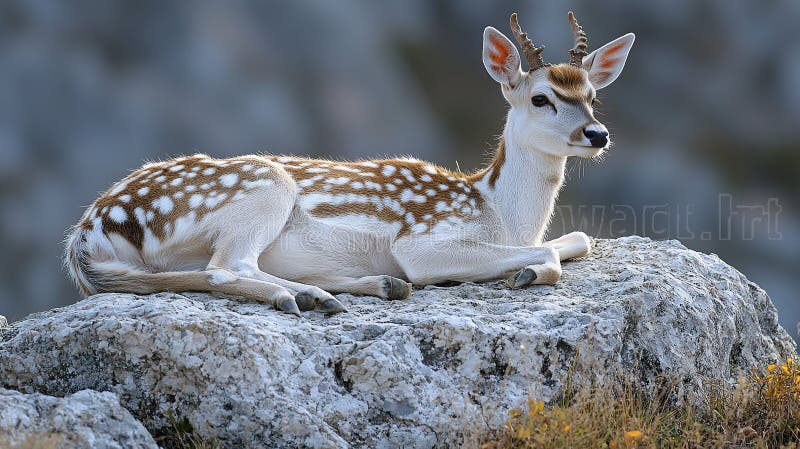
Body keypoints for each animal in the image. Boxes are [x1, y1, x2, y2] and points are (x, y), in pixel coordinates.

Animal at [65, 12, 635, 316]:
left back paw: (364, 286)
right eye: (541, 98)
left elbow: (578, 238)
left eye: (591, 96)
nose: (597, 134)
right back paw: (309, 295)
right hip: (261, 184)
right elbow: (547, 255)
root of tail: (86, 234)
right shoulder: (423, 241)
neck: (499, 211)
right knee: (225, 269)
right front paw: (525, 274)